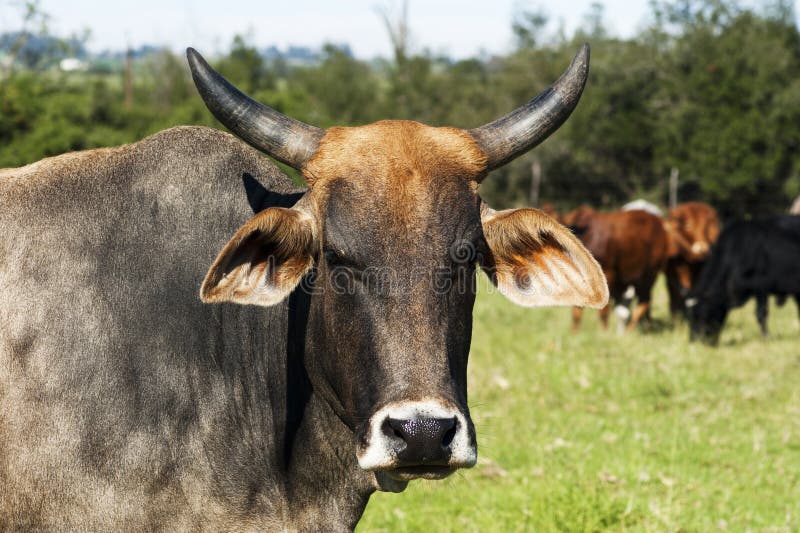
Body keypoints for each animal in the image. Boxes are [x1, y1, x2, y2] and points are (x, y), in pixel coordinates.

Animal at [687, 216, 800, 345]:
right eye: (689, 317)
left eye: (701, 314)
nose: (693, 341)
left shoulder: (761, 286)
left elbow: (761, 313)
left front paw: (767, 337)